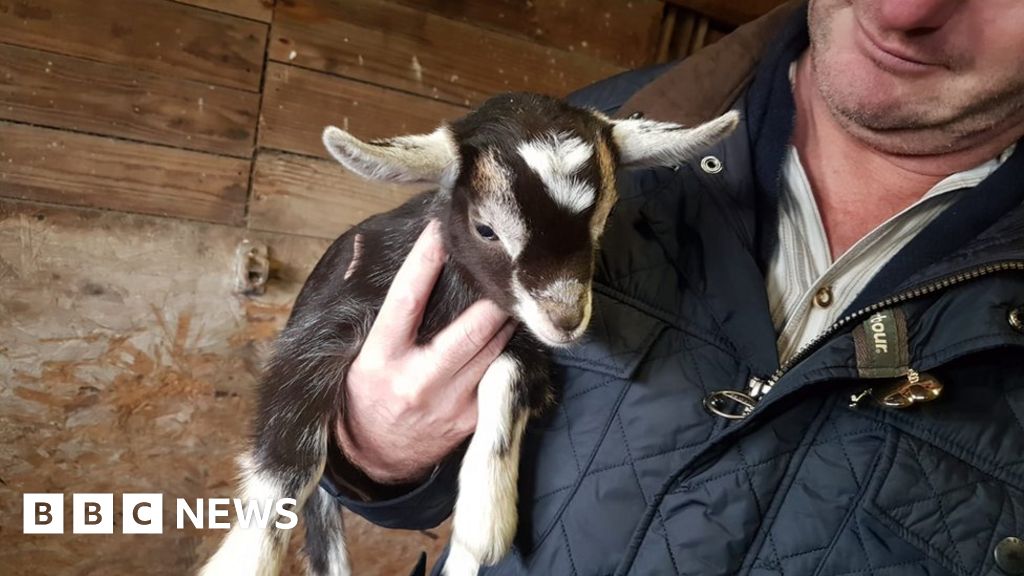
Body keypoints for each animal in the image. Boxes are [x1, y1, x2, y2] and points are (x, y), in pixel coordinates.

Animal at [200, 92, 738, 576]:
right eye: (486, 230)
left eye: (602, 220)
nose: (565, 319)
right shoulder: (319, 333)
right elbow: (291, 455)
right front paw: (245, 561)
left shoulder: (523, 344)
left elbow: (507, 379)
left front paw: (484, 521)